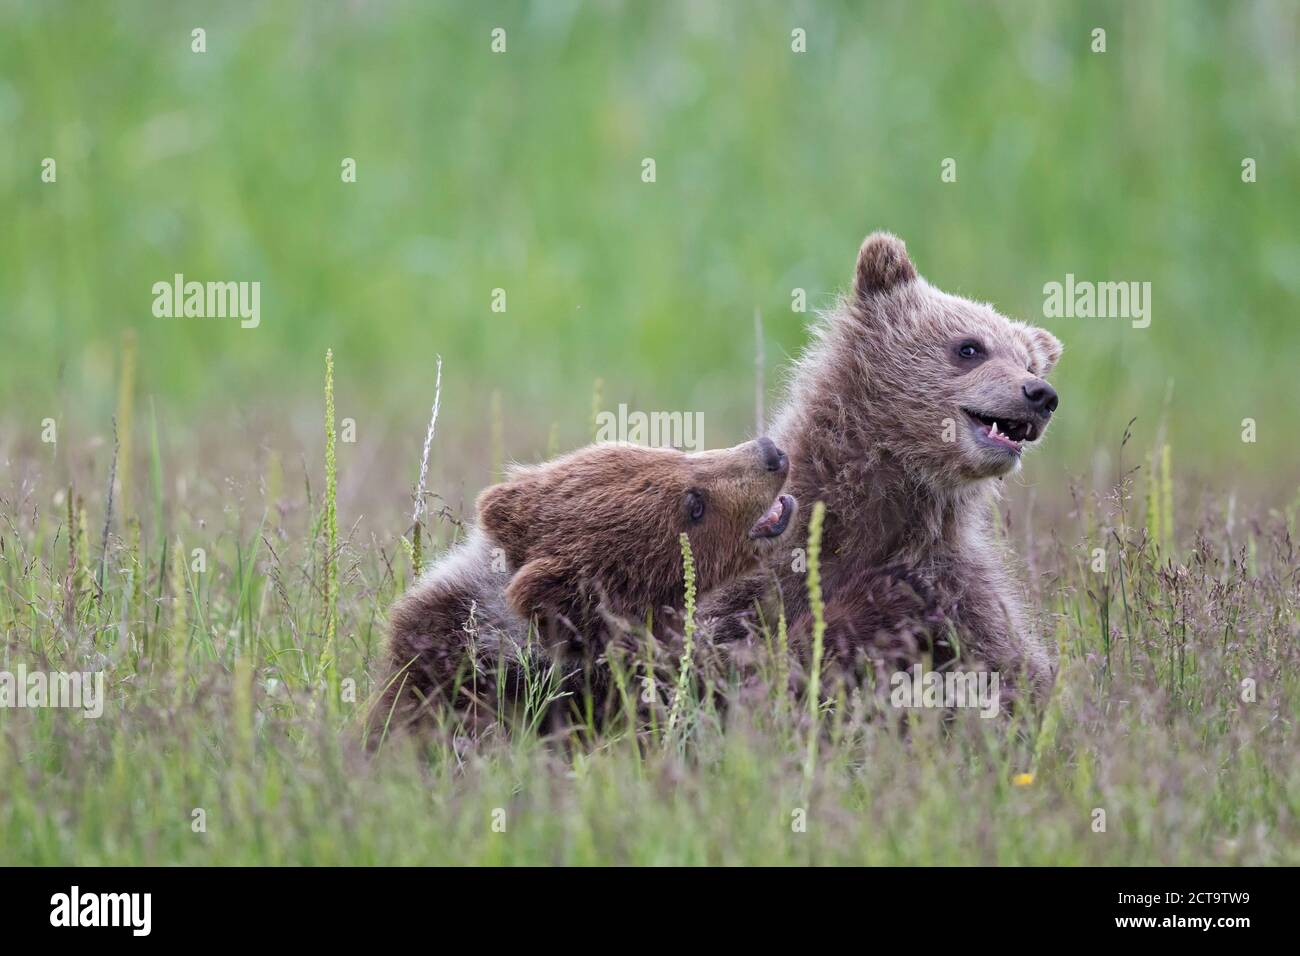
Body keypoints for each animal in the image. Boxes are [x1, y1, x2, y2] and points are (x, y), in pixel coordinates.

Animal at [699, 232, 1063, 708]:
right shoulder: (755, 567)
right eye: (969, 347)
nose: (1040, 394)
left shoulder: (962, 593)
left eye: (1030, 362)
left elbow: (1018, 683)